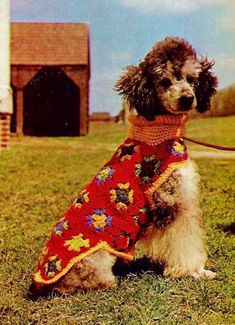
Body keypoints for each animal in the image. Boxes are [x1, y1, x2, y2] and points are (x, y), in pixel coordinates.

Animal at [28, 36, 218, 298]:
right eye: (164, 81)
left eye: (191, 78)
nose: (187, 98)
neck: (157, 135)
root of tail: (42, 282)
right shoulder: (173, 203)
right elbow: (184, 242)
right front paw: (195, 271)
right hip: (98, 260)